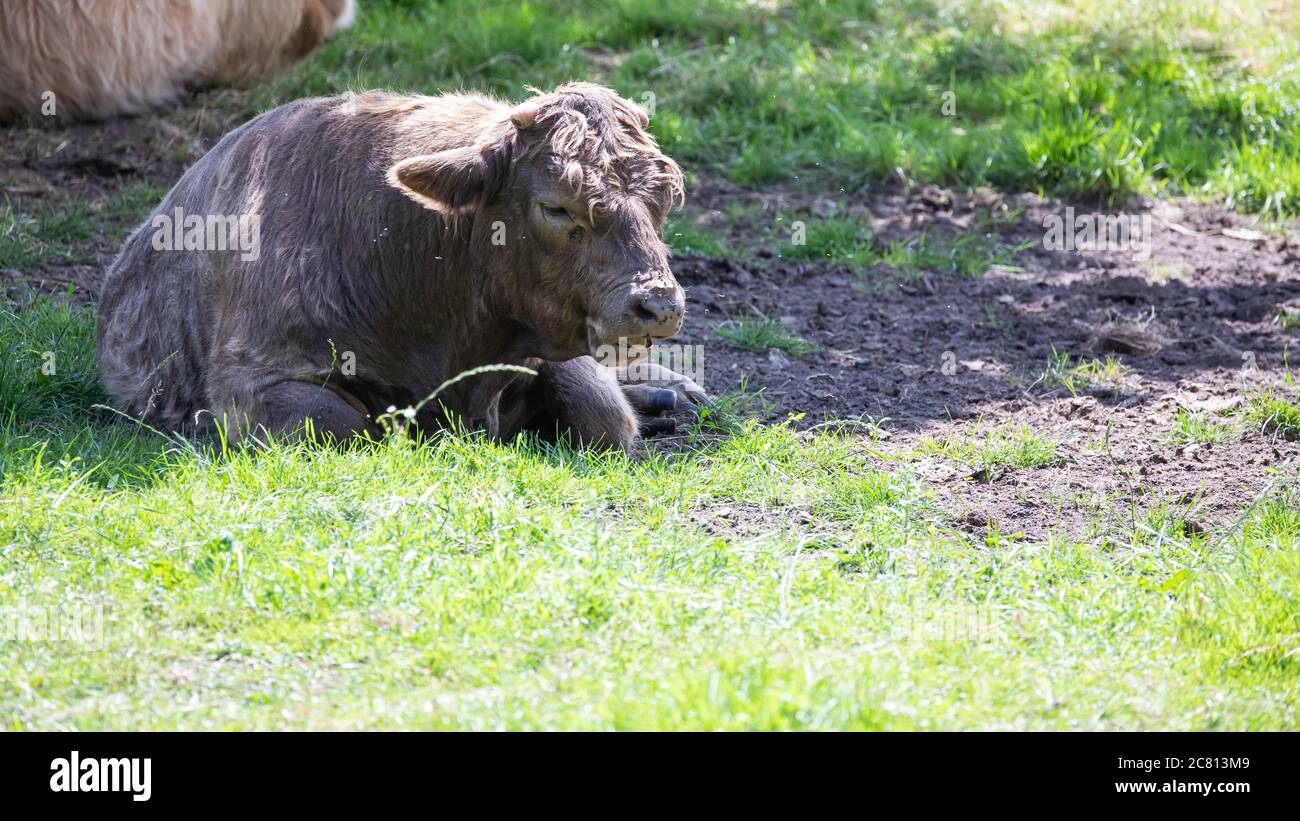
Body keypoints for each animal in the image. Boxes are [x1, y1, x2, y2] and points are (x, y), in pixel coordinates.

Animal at [96, 82, 704, 453]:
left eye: (664, 198)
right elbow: (339, 424)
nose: (659, 307)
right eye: (556, 207)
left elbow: (603, 415)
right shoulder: (253, 375)